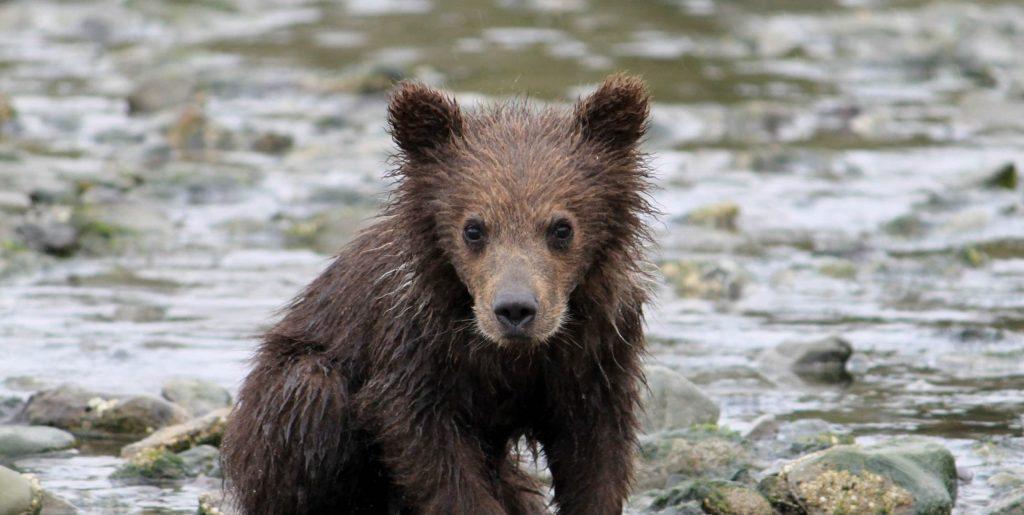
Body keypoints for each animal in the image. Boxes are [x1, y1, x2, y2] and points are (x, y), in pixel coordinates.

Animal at [221, 74, 654, 515]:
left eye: (562, 227)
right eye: (473, 228)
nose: (515, 309)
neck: (511, 356)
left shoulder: (595, 353)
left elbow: (595, 452)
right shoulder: (416, 350)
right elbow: (432, 451)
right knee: (310, 397)